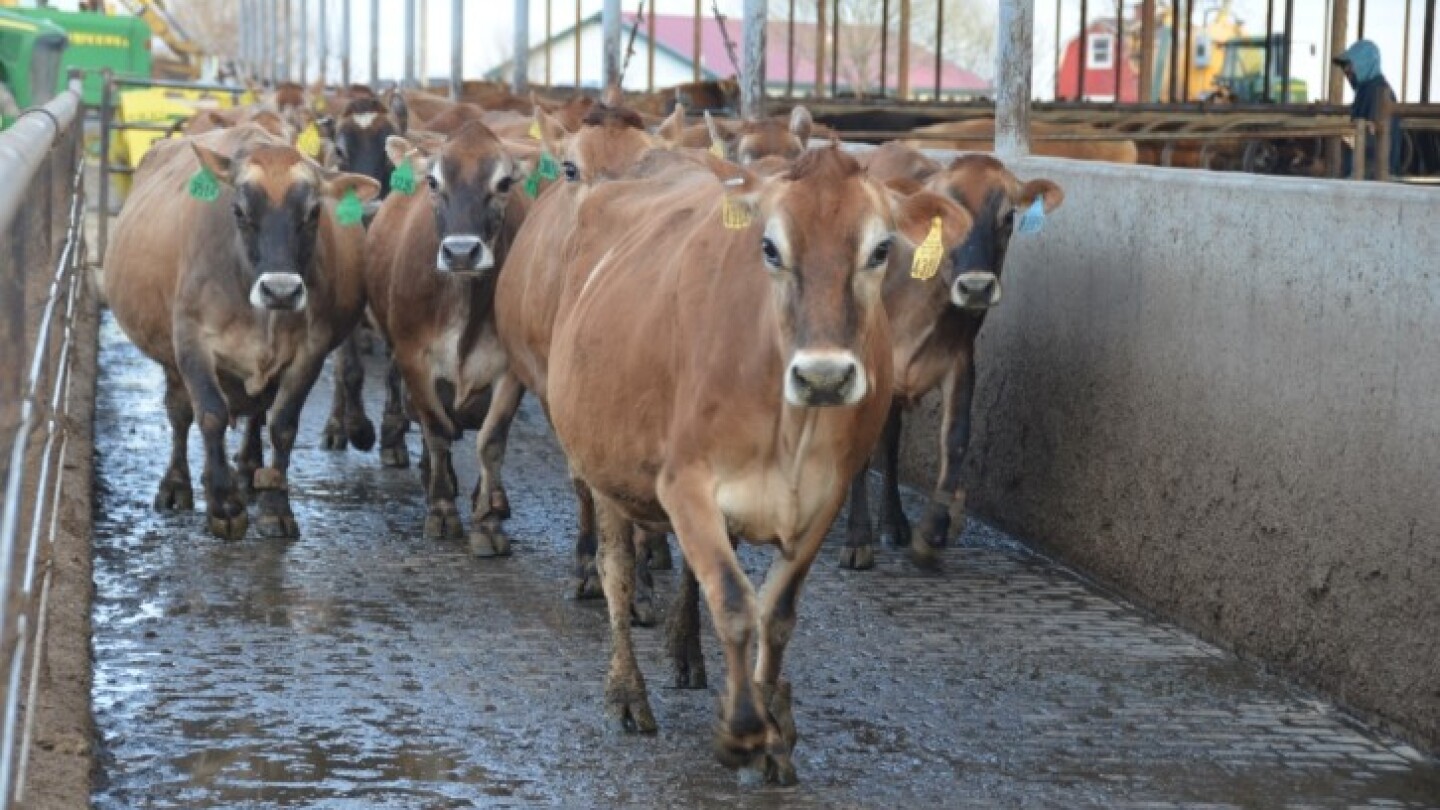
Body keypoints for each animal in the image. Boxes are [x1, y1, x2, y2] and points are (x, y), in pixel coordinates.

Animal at [103, 124, 379, 541]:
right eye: (239, 211)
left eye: (313, 213)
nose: (280, 290)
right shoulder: (191, 343)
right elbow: (211, 414)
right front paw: (224, 504)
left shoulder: (310, 351)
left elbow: (282, 425)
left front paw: (275, 509)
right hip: (170, 357)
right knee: (180, 413)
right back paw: (177, 485)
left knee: (257, 412)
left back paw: (249, 469)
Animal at [537, 147, 972, 783]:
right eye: (769, 248)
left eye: (881, 250)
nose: (824, 376)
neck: (789, 431)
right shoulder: (685, 484)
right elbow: (736, 603)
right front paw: (742, 729)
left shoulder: (825, 495)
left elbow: (777, 614)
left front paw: (772, 731)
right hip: (601, 466)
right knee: (616, 571)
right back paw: (628, 694)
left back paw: (686, 653)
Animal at [837, 141, 1064, 569]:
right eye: (941, 219)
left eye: (1008, 217)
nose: (976, 287)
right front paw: (857, 539)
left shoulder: (960, 358)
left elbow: (957, 437)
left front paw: (933, 531)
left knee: (891, 441)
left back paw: (894, 522)